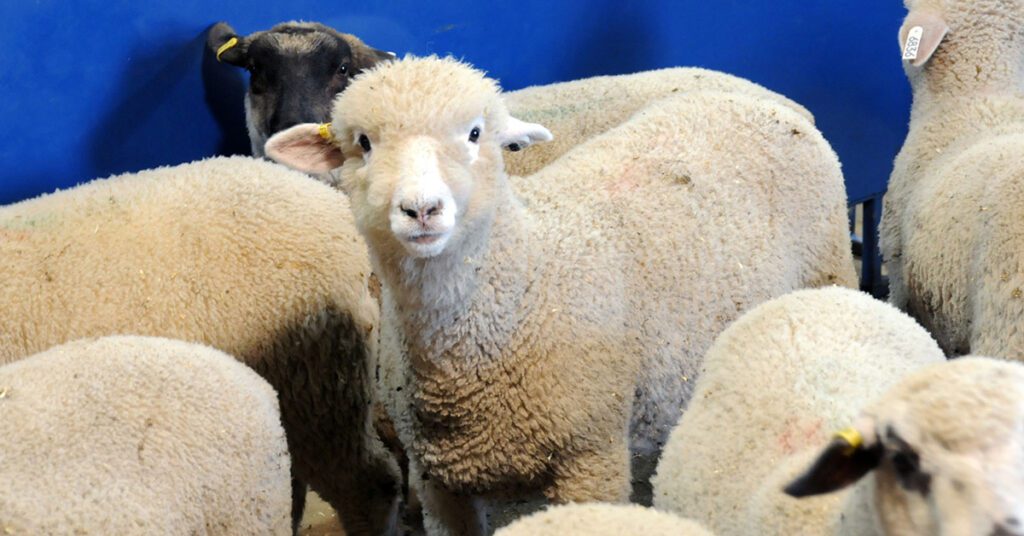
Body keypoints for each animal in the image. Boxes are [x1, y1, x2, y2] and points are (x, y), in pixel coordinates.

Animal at [266, 55, 856, 535]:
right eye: (363, 144)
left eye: (476, 133)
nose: (421, 209)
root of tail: (768, 104)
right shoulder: (440, 482)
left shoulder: (590, 458)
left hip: (831, 273)